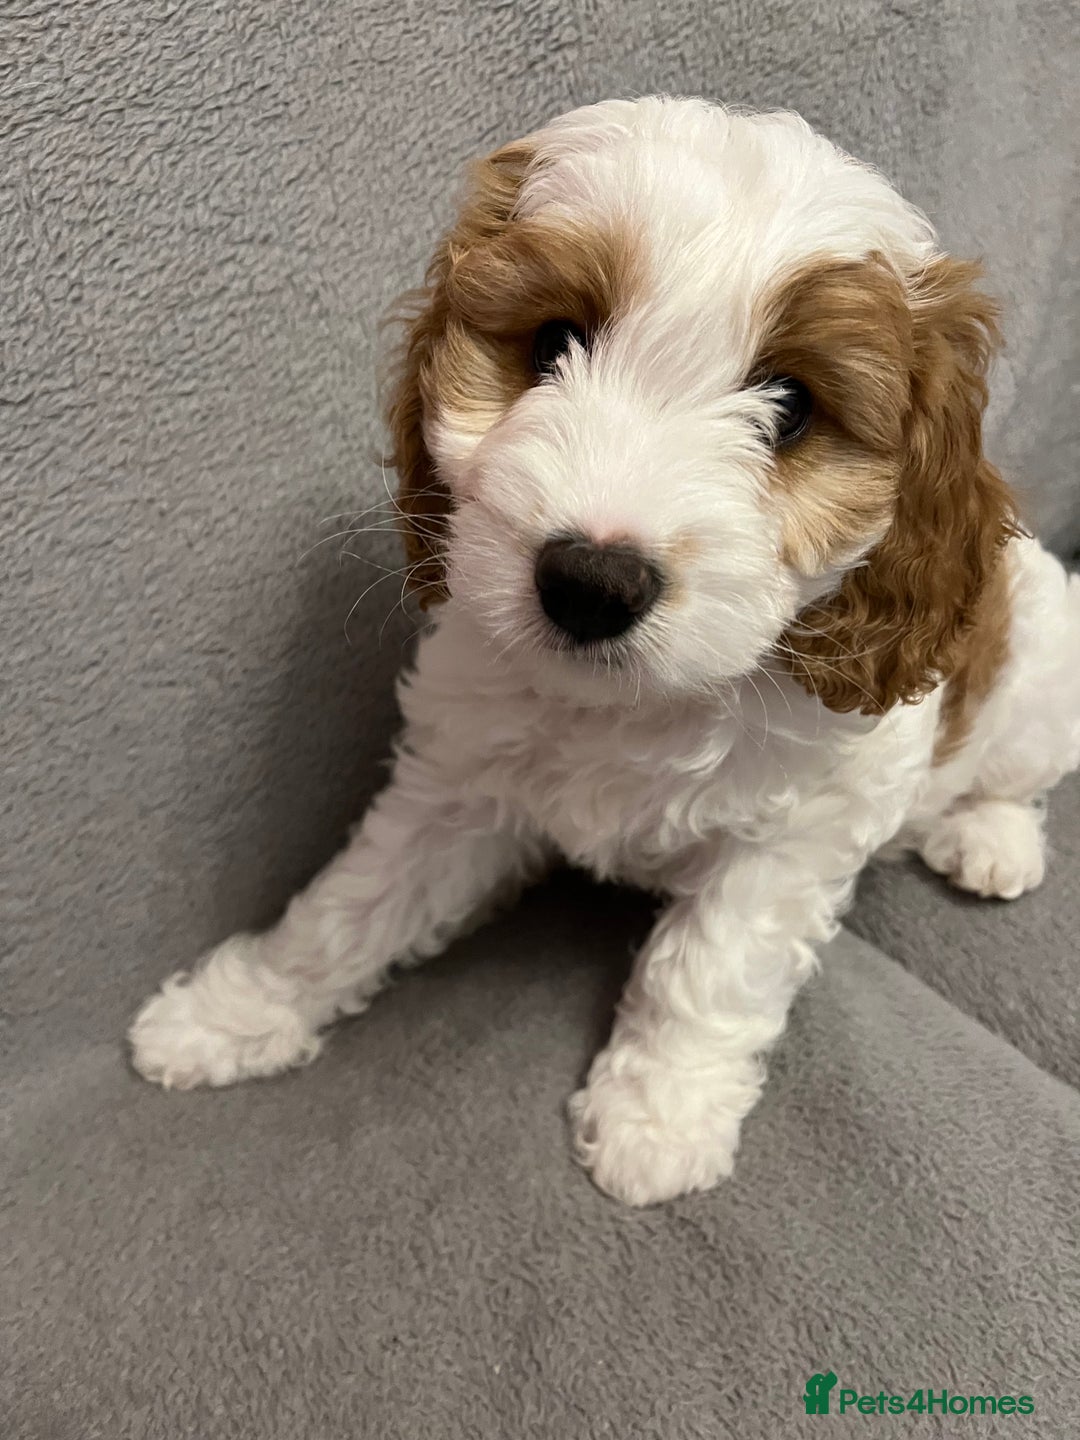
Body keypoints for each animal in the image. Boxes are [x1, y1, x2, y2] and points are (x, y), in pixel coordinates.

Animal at [131, 97, 1080, 1205]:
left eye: (792, 405)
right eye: (553, 342)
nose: (590, 580)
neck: (639, 704)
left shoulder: (796, 832)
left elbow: (710, 967)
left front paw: (658, 1116)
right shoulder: (458, 776)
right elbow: (351, 905)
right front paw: (237, 1012)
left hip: (1041, 667)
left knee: (1018, 772)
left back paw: (992, 840)